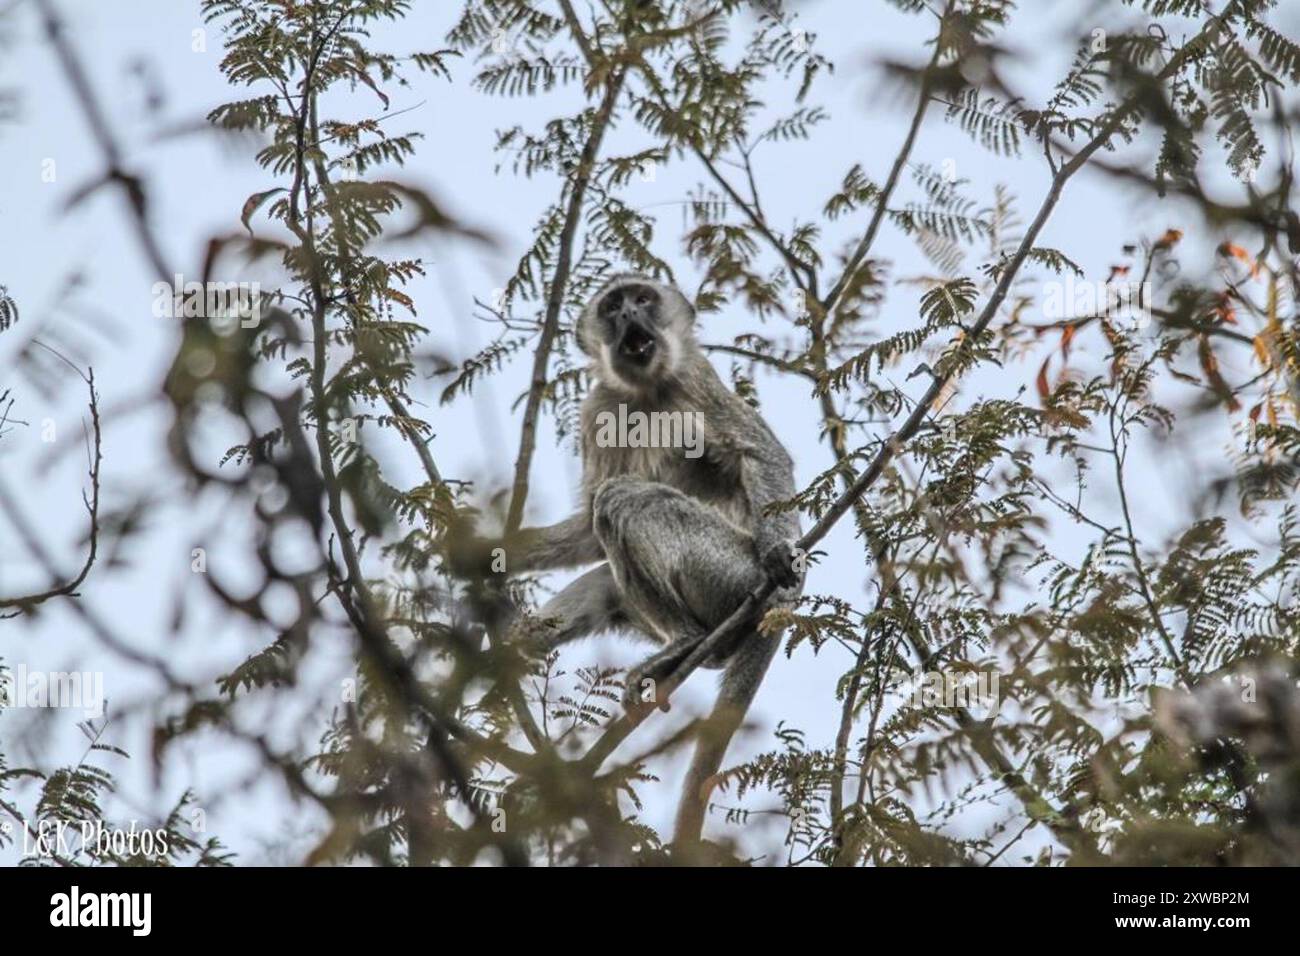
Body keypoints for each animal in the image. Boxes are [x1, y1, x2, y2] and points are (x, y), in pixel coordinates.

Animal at [454, 273, 803, 845]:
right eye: (613, 307)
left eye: (643, 300)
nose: (628, 317)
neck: (647, 393)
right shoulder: (598, 404)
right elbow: (590, 537)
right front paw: (485, 559)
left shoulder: (696, 375)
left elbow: (760, 453)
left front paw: (781, 551)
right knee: (605, 568)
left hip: (730, 570)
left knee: (622, 500)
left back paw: (690, 638)